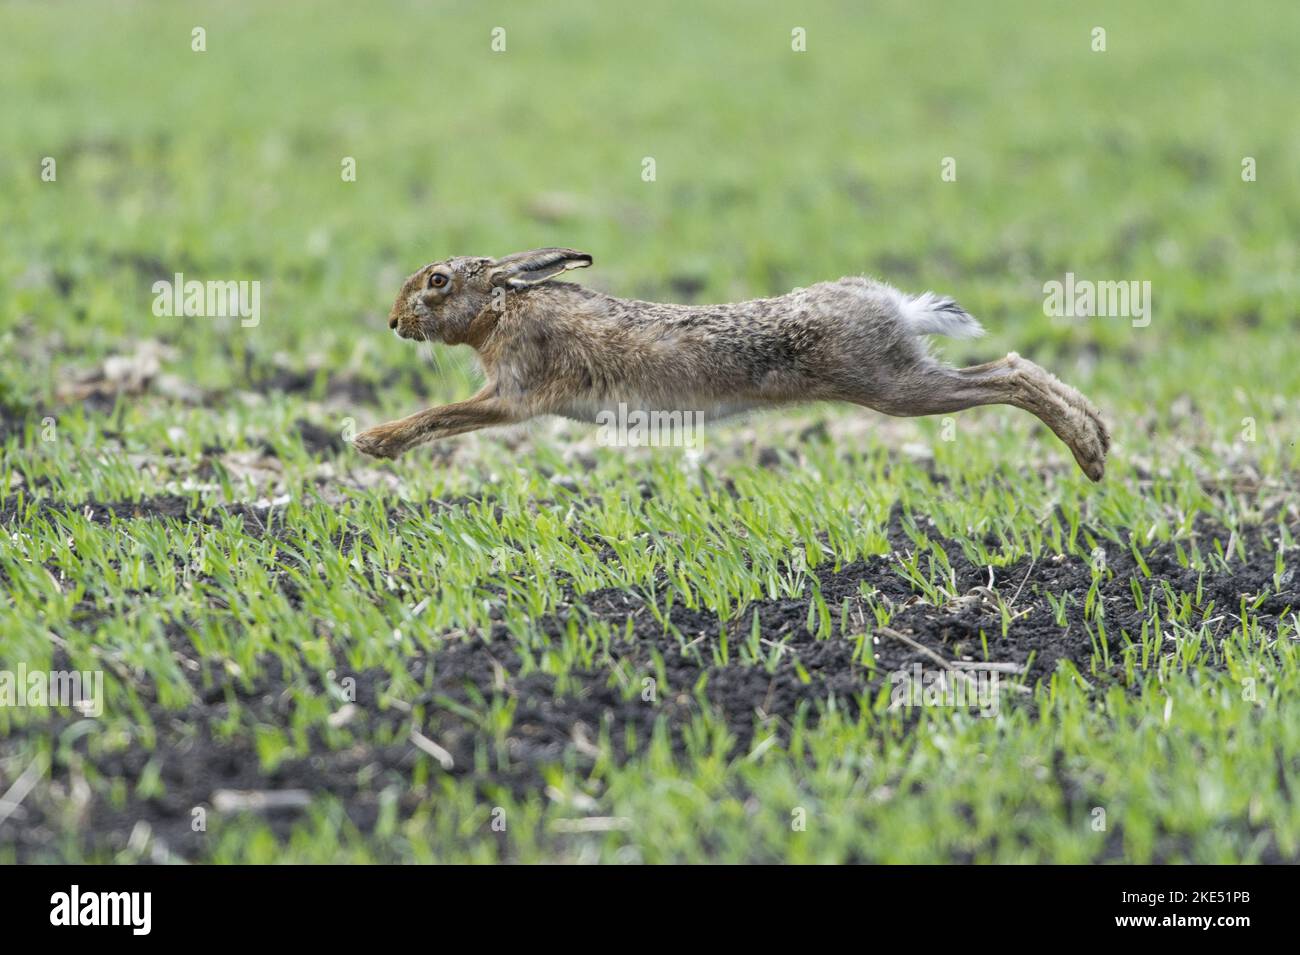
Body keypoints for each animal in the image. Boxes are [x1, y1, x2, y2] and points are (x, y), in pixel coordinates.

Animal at [354, 248, 1110, 480]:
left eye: (438, 281)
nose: (393, 322)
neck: (505, 306)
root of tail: (892, 303)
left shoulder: (513, 393)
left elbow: (443, 415)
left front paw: (372, 442)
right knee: (1012, 368)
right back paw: (1100, 435)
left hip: (892, 384)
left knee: (1007, 374)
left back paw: (1090, 451)